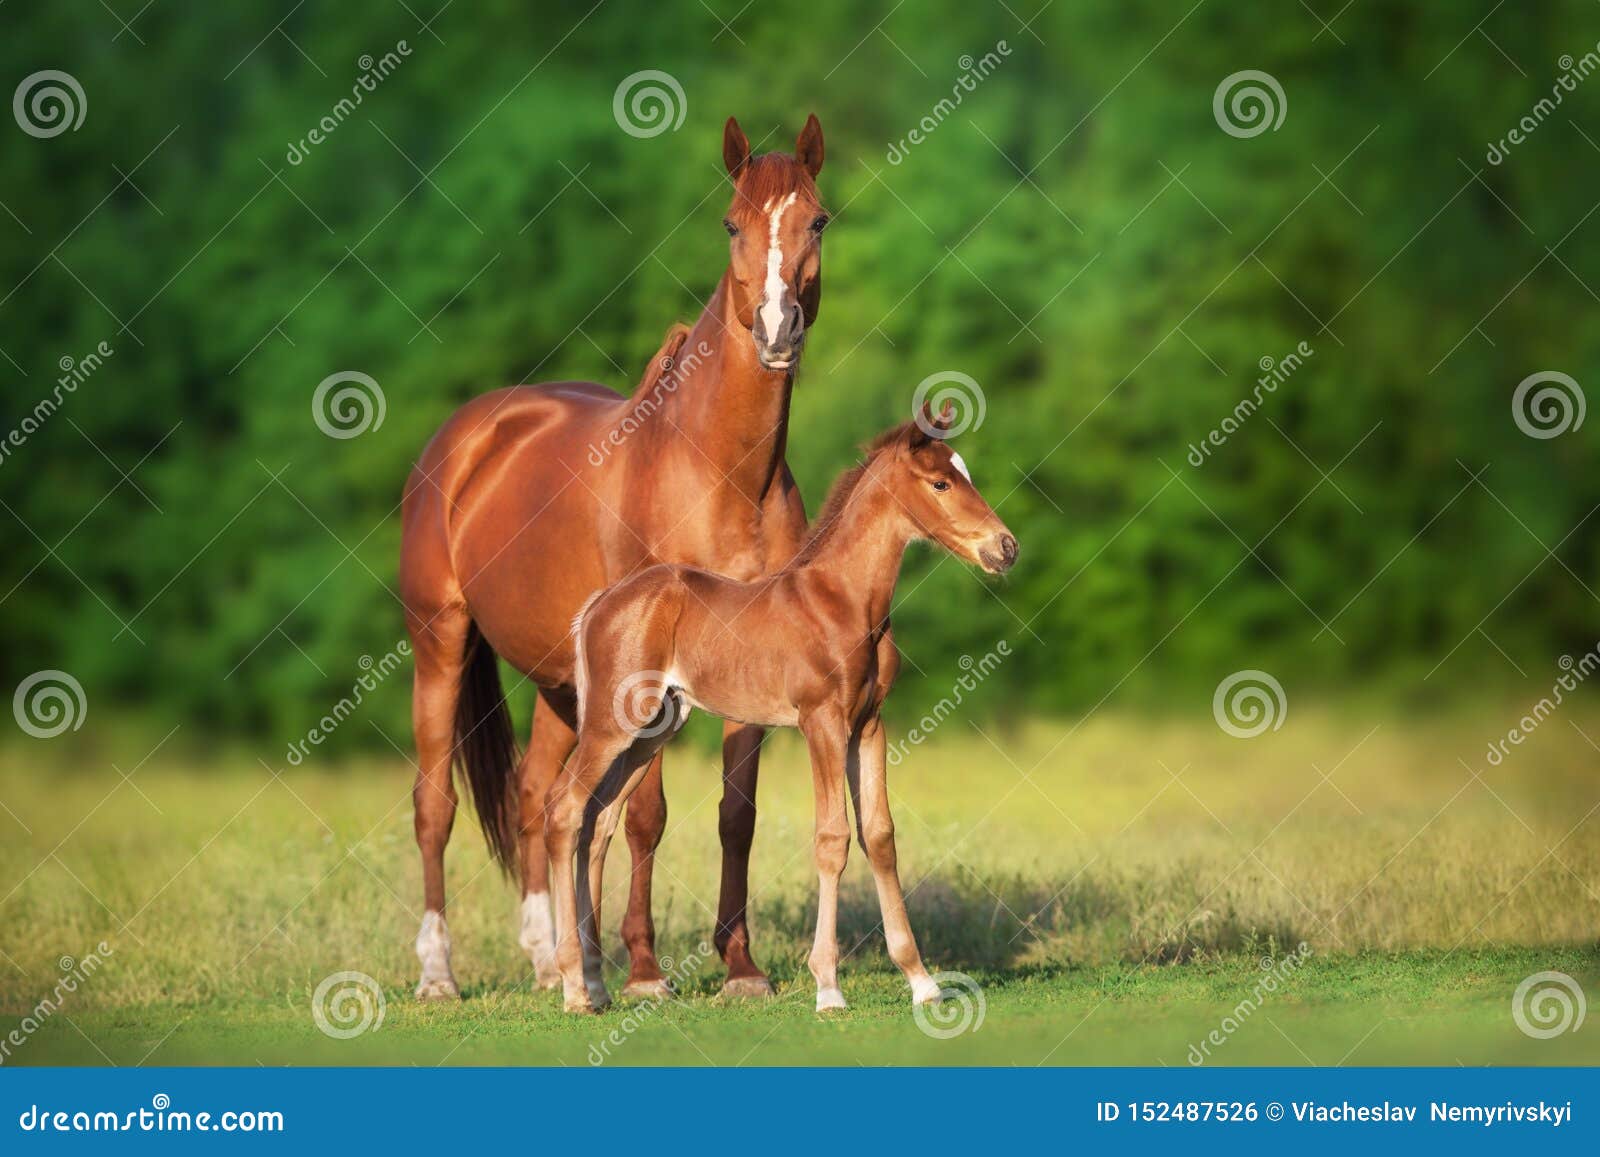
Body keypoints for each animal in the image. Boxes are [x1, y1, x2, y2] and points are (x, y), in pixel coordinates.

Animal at [398, 113, 829, 1000]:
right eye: (732, 224)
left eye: (818, 220)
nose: (776, 331)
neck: (718, 472)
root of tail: (467, 437)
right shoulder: (650, 672)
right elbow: (645, 815)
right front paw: (643, 968)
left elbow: (736, 814)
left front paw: (740, 966)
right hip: (440, 642)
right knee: (434, 805)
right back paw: (439, 974)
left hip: (561, 684)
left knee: (536, 797)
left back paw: (546, 958)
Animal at [549, 402, 1019, 1013]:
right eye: (941, 482)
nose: (1005, 548)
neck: (843, 601)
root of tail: (600, 603)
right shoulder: (821, 721)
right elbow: (832, 839)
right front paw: (827, 986)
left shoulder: (869, 725)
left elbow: (879, 836)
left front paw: (921, 981)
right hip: (611, 724)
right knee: (564, 810)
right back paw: (572, 987)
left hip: (653, 729)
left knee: (599, 820)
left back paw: (598, 983)